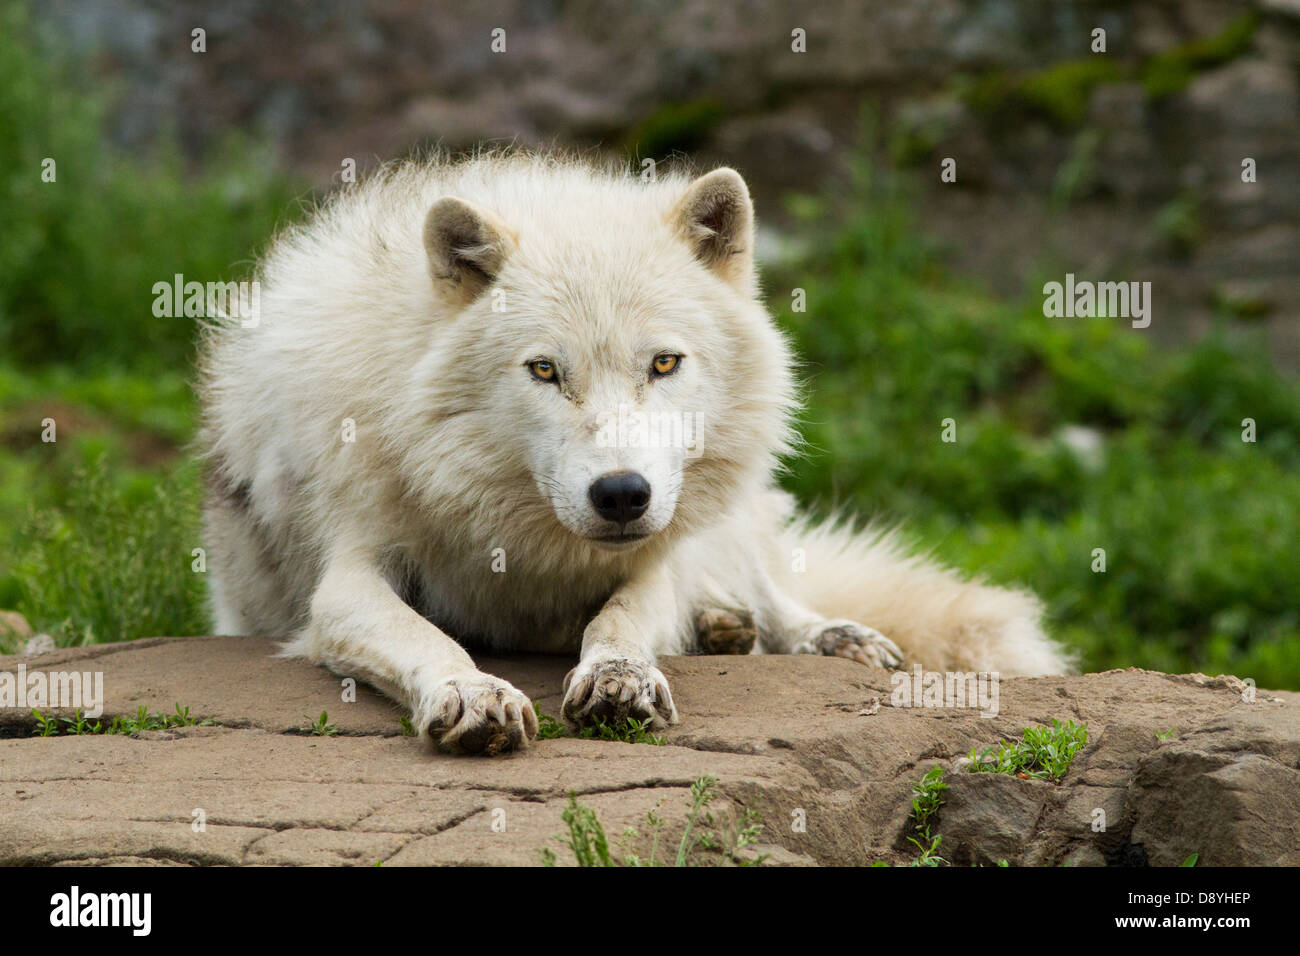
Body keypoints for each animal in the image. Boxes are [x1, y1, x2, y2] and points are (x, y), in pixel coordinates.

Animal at [198, 152, 1069, 755]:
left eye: (664, 363)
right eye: (545, 370)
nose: (622, 494)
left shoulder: (653, 558)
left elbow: (623, 617)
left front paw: (621, 678)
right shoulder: (345, 579)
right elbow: (421, 635)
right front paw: (472, 691)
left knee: (767, 585)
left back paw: (813, 635)